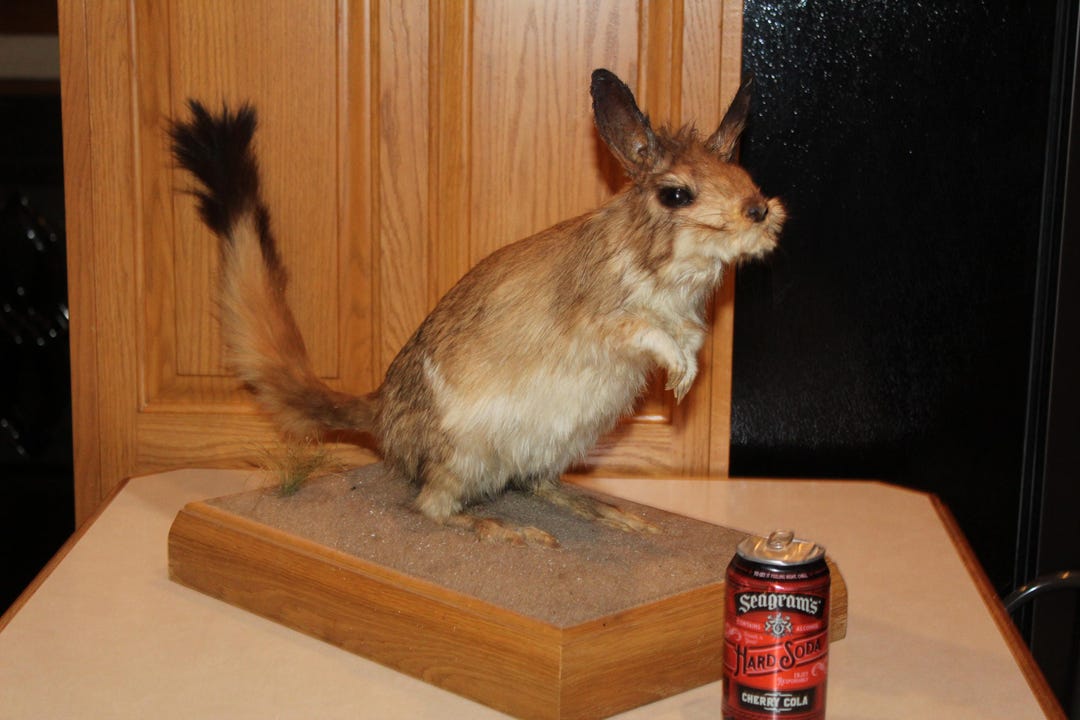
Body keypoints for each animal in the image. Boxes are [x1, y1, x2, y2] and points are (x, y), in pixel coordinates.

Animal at [170, 68, 784, 547]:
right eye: (676, 194)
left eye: (743, 175)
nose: (760, 210)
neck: (666, 266)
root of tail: (381, 414)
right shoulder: (602, 318)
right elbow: (647, 333)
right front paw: (679, 379)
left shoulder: (691, 320)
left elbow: (690, 341)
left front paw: (687, 377)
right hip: (462, 455)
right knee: (430, 508)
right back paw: (506, 530)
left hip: (558, 442)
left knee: (536, 484)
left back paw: (614, 515)